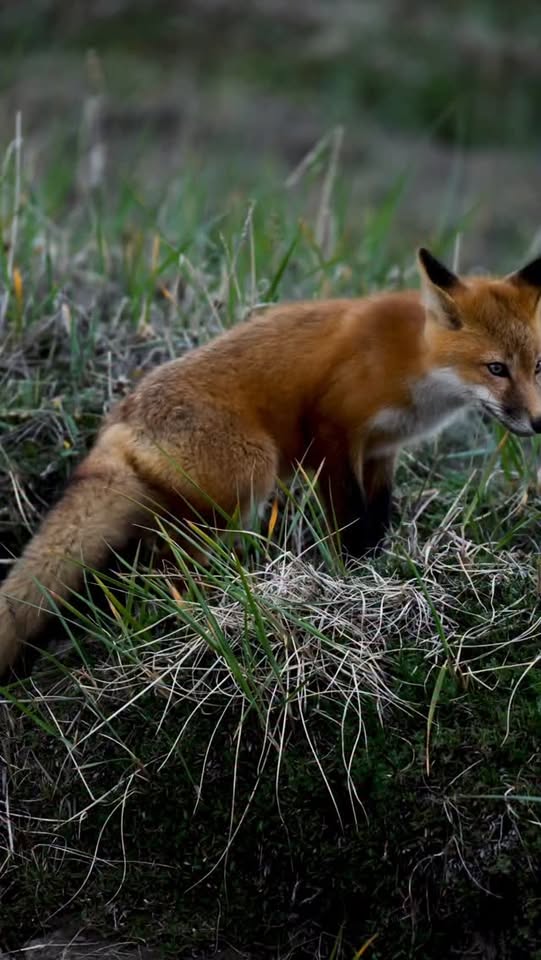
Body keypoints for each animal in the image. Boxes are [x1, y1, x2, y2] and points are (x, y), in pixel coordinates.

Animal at [1, 246, 541, 676]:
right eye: (496, 368)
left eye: (536, 366)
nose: (538, 422)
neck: (416, 363)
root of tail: (119, 418)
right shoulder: (332, 429)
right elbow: (348, 520)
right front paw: (348, 579)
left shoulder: (381, 450)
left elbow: (376, 519)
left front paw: (376, 570)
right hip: (250, 475)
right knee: (162, 568)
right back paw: (206, 611)